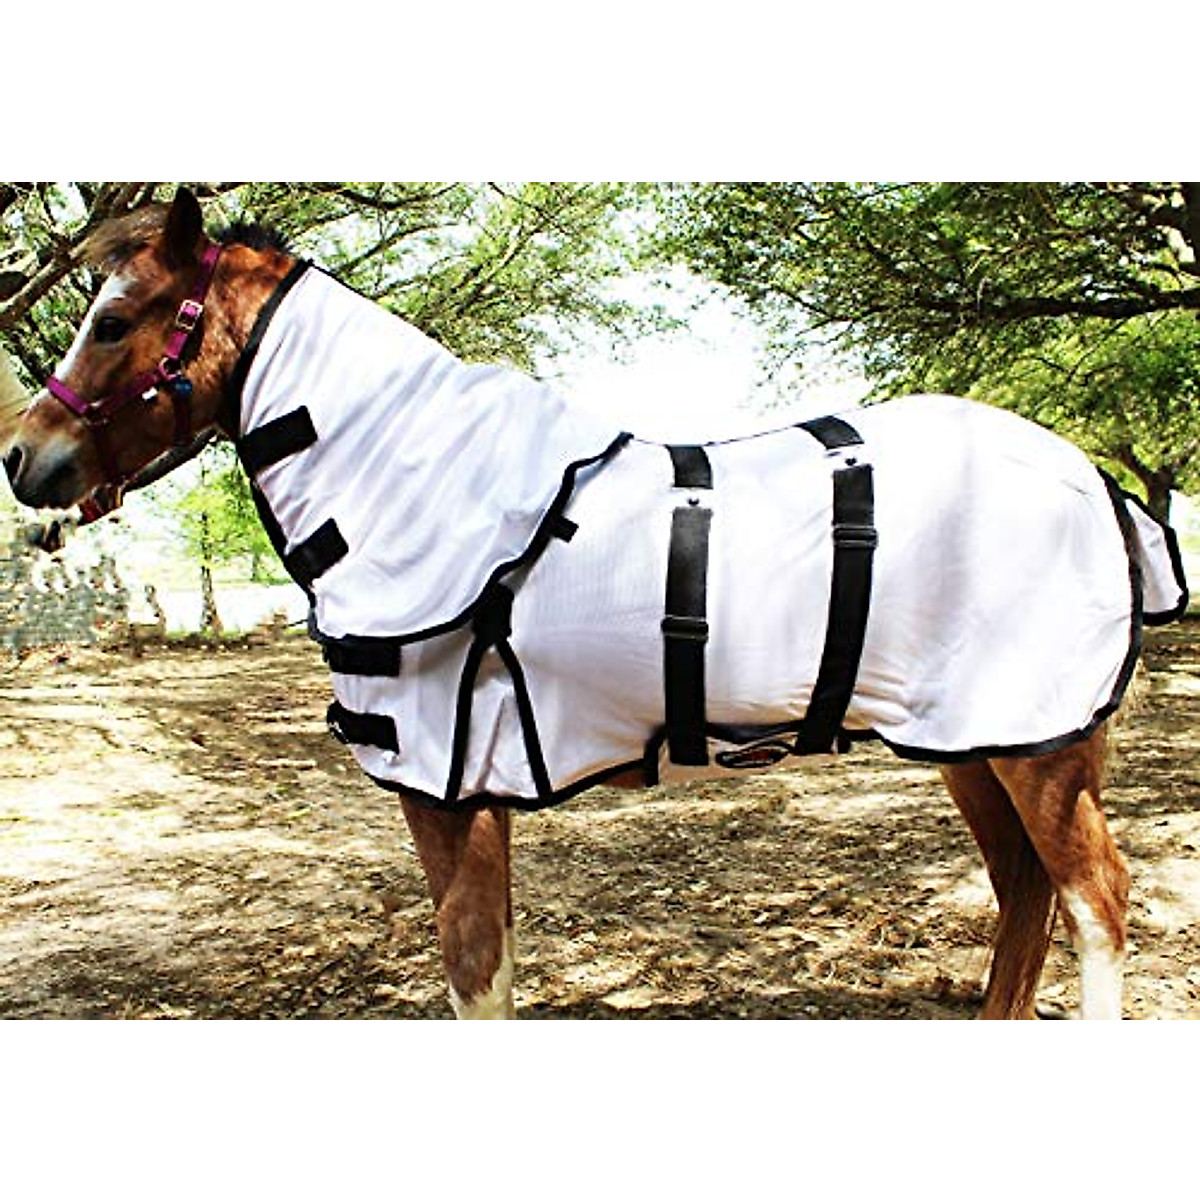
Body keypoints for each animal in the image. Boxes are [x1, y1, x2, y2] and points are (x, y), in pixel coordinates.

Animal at [3, 188, 1188, 1019]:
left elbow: (474, 972)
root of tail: (1091, 479)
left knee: (1096, 900)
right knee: (1025, 894)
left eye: (112, 319)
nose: (24, 458)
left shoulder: (449, 792)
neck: (414, 476)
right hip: (971, 744)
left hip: (1039, 751)